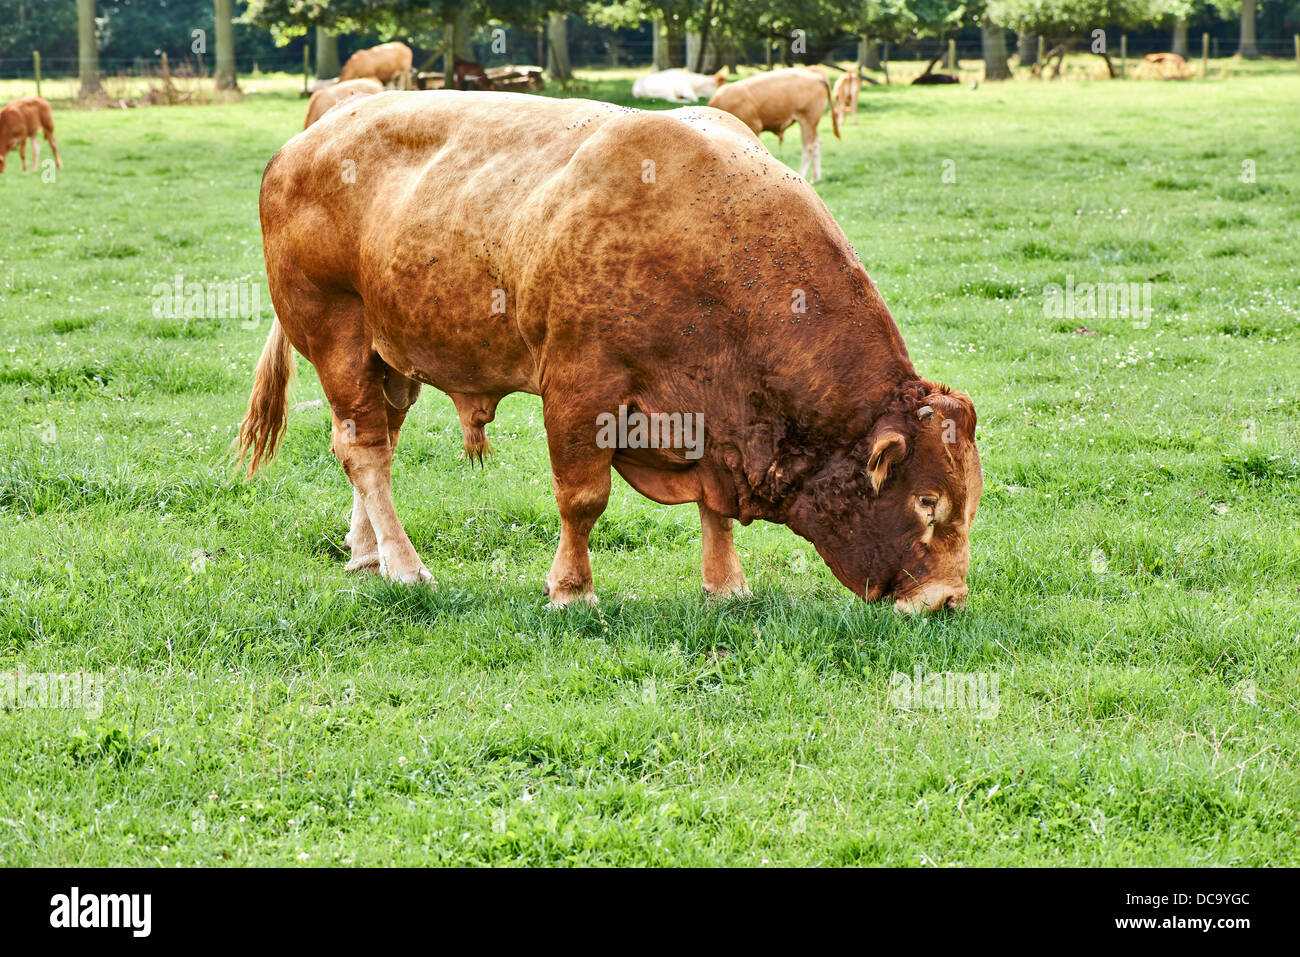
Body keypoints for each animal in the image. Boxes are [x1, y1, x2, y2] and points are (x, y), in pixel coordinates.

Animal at [239, 92, 981, 613]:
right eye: (927, 502)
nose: (945, 602)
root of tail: (300, 144)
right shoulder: (580, 387)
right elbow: (582, 499)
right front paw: (572, 589)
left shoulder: (716, 415)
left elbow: (715, 512)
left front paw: (726, 585)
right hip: (337, 335)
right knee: (364, 450)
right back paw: (403, 564)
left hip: (390, 357)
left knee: (373, 442)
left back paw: (366, 552)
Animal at [707, 67, 839, 184]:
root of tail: (814, 73)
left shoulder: (754, 126)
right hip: (811, 123)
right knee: (816, 143)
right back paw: (815, 177)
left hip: (807, 120)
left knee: (809, 146)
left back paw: (803, 174)